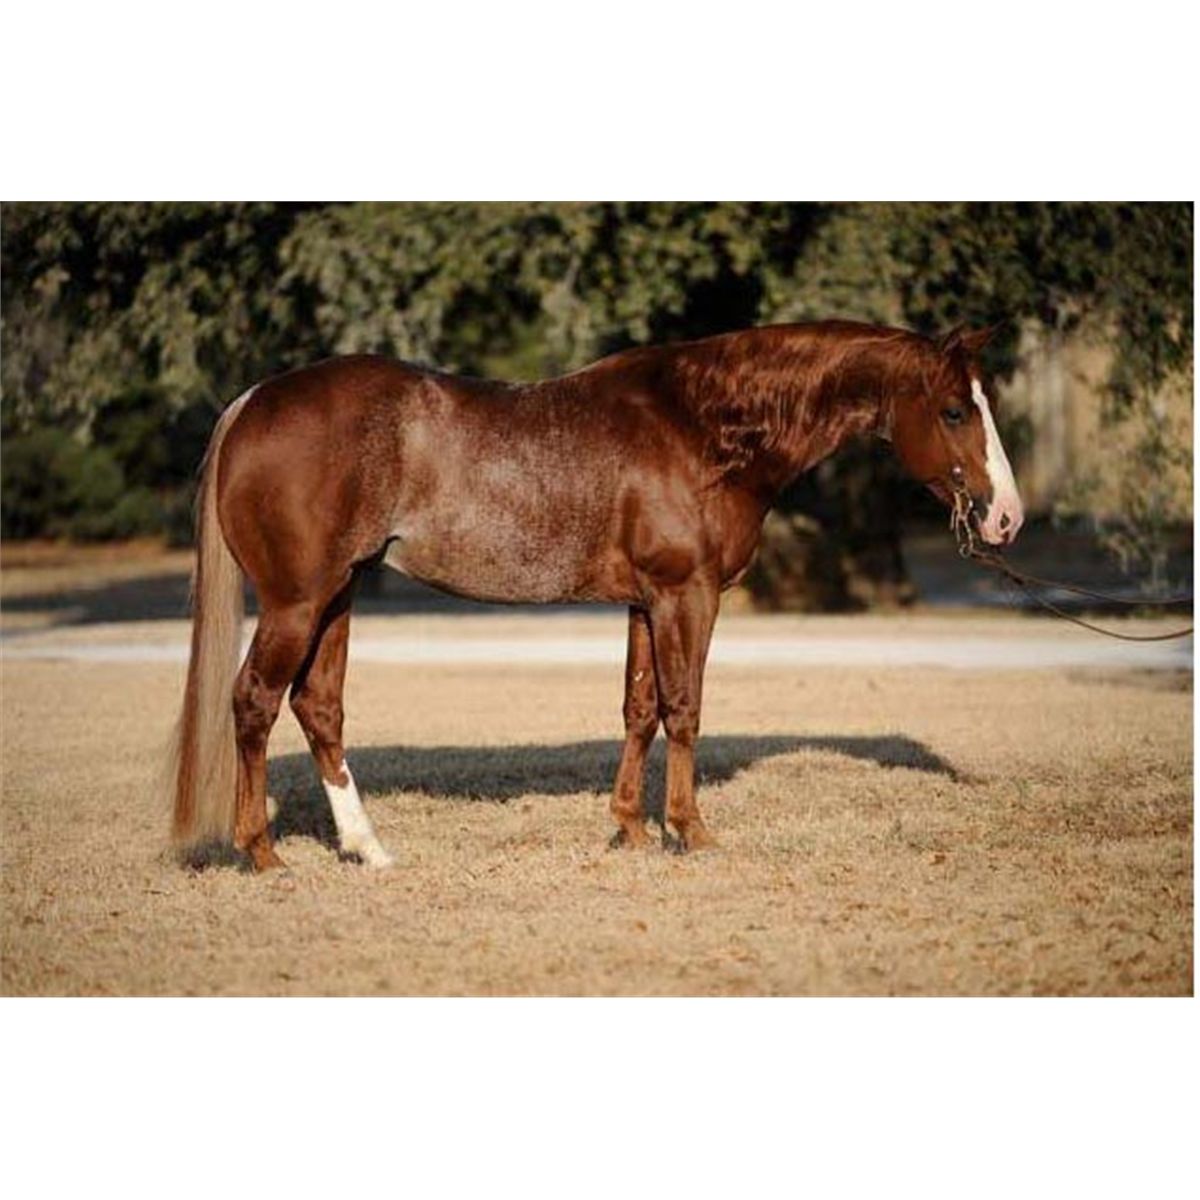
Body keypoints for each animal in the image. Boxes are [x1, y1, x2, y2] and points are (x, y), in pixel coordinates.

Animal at [168, 319, 1023, 871]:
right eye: (954, 410)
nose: (1006, 517)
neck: (705, 427)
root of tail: (253, 400)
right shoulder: (688, 595)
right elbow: (685, 709)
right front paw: (691, 833)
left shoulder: (647, 600)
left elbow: (640, 708)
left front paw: (631, 832)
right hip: (297, 601)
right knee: (254, 702)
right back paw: (262, 852)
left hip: (337, 596)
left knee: (319, 708)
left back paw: (368, 848)